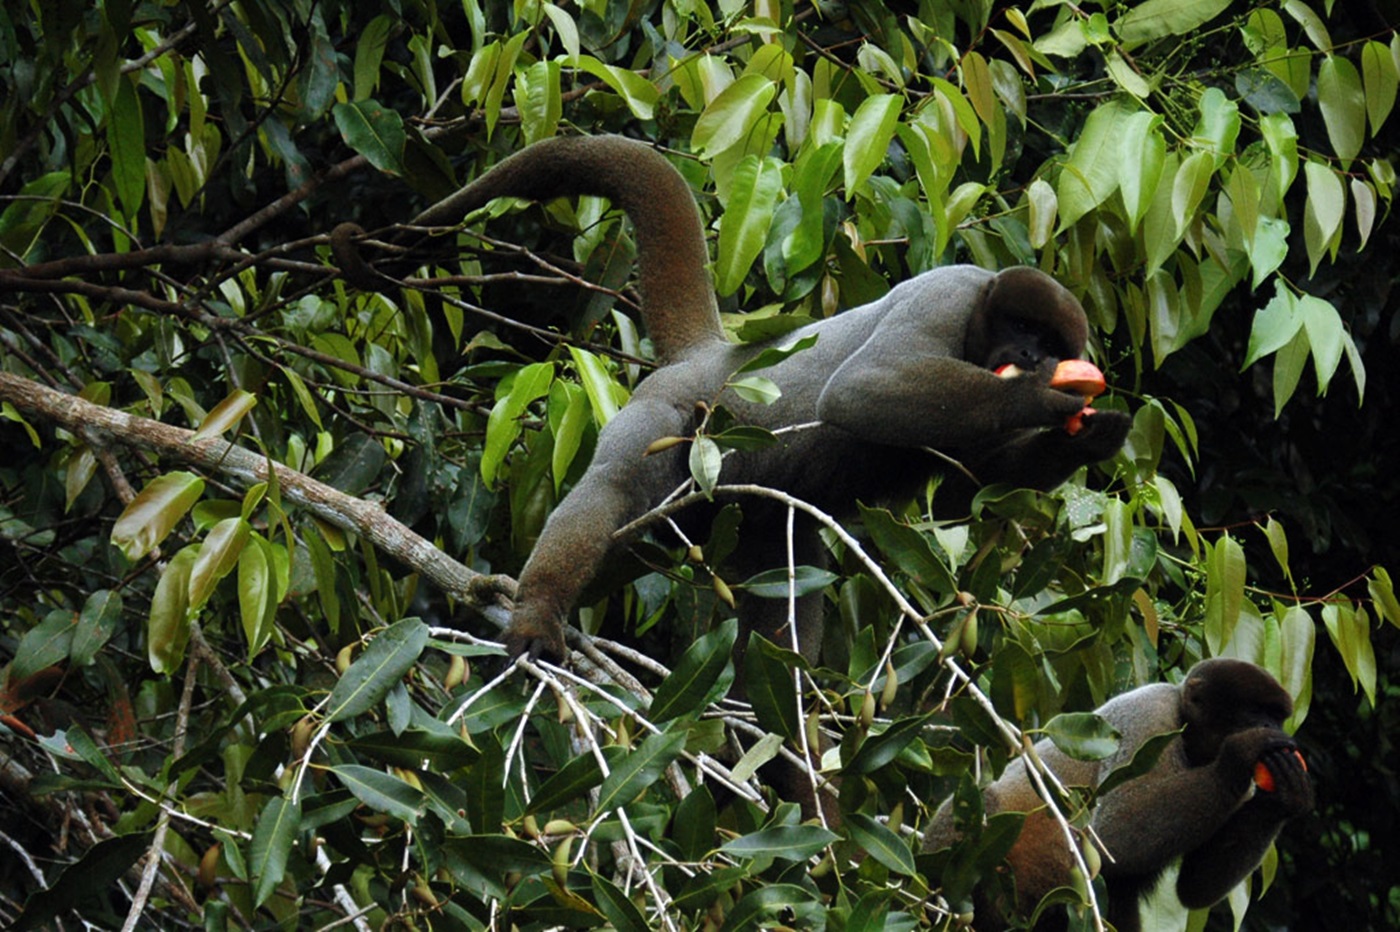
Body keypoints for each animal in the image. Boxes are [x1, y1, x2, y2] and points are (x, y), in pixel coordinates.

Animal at [332, 134, 1132, 663]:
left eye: (1053, 342)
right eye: (1025, 332)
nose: (1036, 360)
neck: (978, 330)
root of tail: (710, 354)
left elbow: (977, 481)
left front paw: (1097, 433)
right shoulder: (951, 293)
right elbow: (861, 391)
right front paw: (1044, 400)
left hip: (753, 526)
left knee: (778, 634)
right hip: (667, 414)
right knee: (611, 487)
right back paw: (534, 614)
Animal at [921, 658, 1314, 932]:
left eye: (1277, 716)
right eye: (1255, 712)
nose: (1273, 728)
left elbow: (1194, 888)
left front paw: (1285, 798)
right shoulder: (1150, 714)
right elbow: (1115, 834)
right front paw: (1240, 754)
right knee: (985, 804)